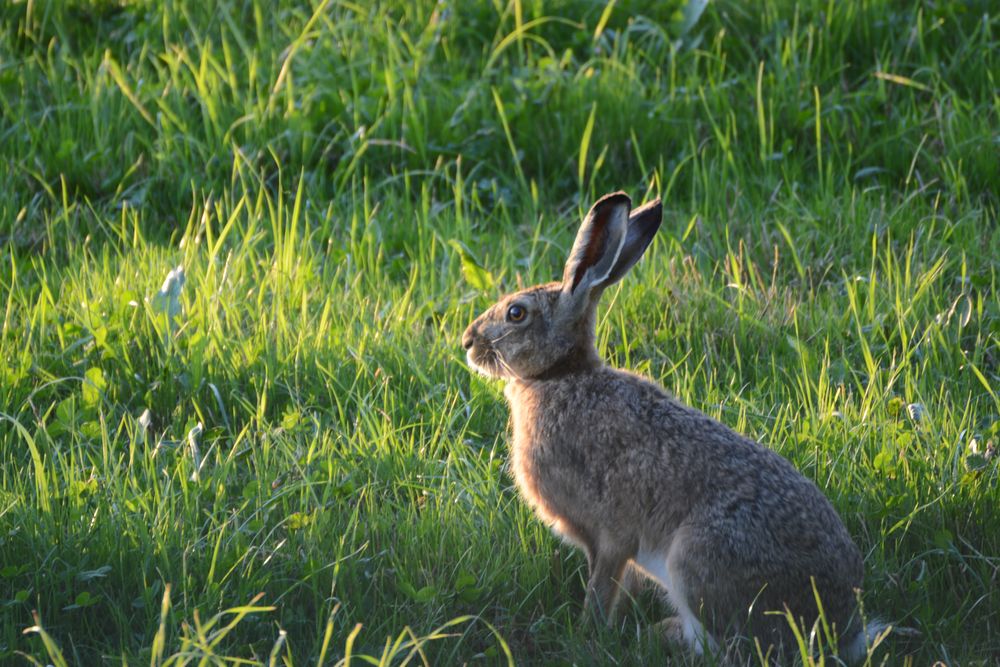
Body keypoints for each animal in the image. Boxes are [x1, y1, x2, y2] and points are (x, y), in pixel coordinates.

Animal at [462, 192, 884, 660]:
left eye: (516, 313)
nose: (467, 342)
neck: (559, 376)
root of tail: (840, 629)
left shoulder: (611, 534)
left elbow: (601, 586)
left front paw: (589, 633)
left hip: (696, 561)